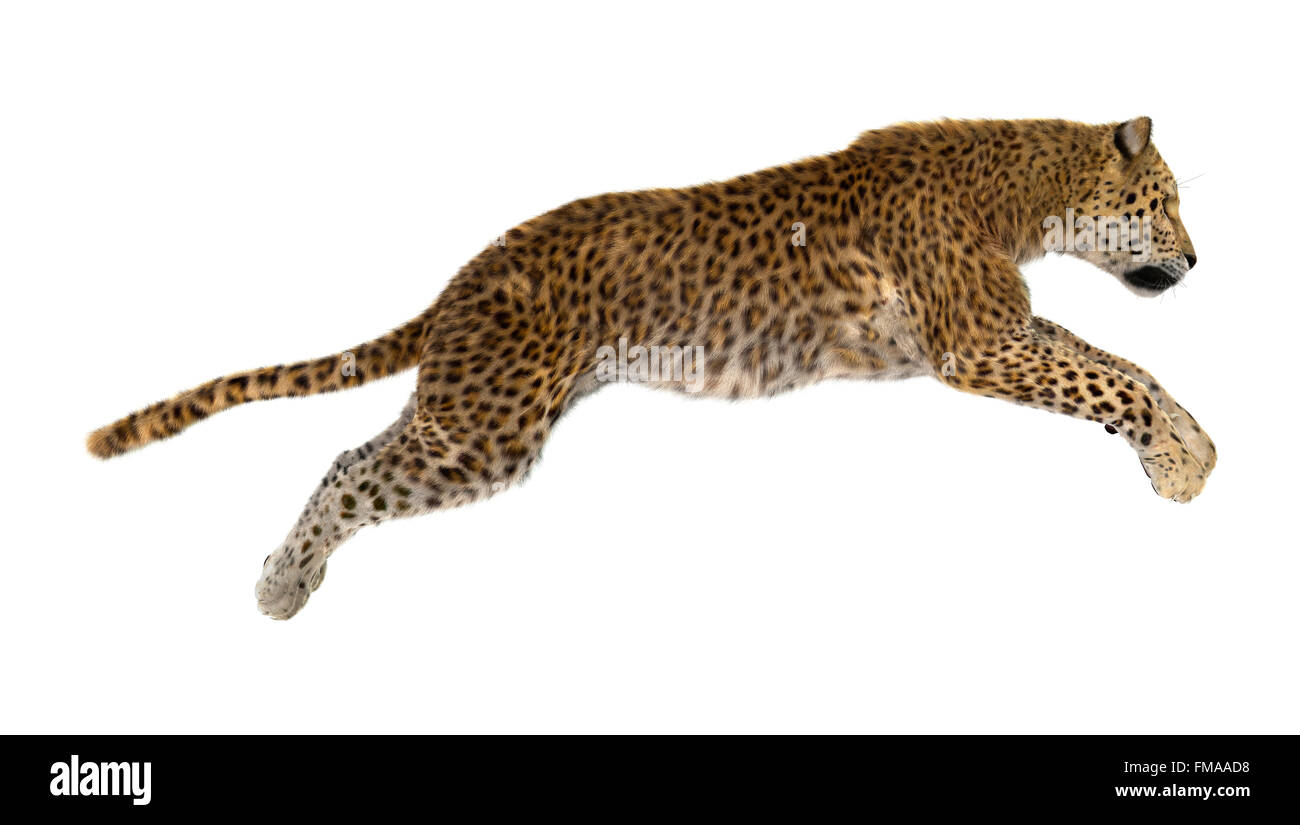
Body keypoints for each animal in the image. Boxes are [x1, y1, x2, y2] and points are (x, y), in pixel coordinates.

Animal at [87, 116, 1215, 619]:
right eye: (1162, 200)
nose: (1198, 260)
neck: (1026, 193)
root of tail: (465, 274)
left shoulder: (1002, 329)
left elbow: (1118, 368)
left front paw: (1185, 449)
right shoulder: (976, 343)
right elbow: (1107, 375)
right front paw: (1186, 462)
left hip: (473, 407)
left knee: (356, 453)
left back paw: (290, 572)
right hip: (488, 429)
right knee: (354, 469)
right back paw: (282, 581)